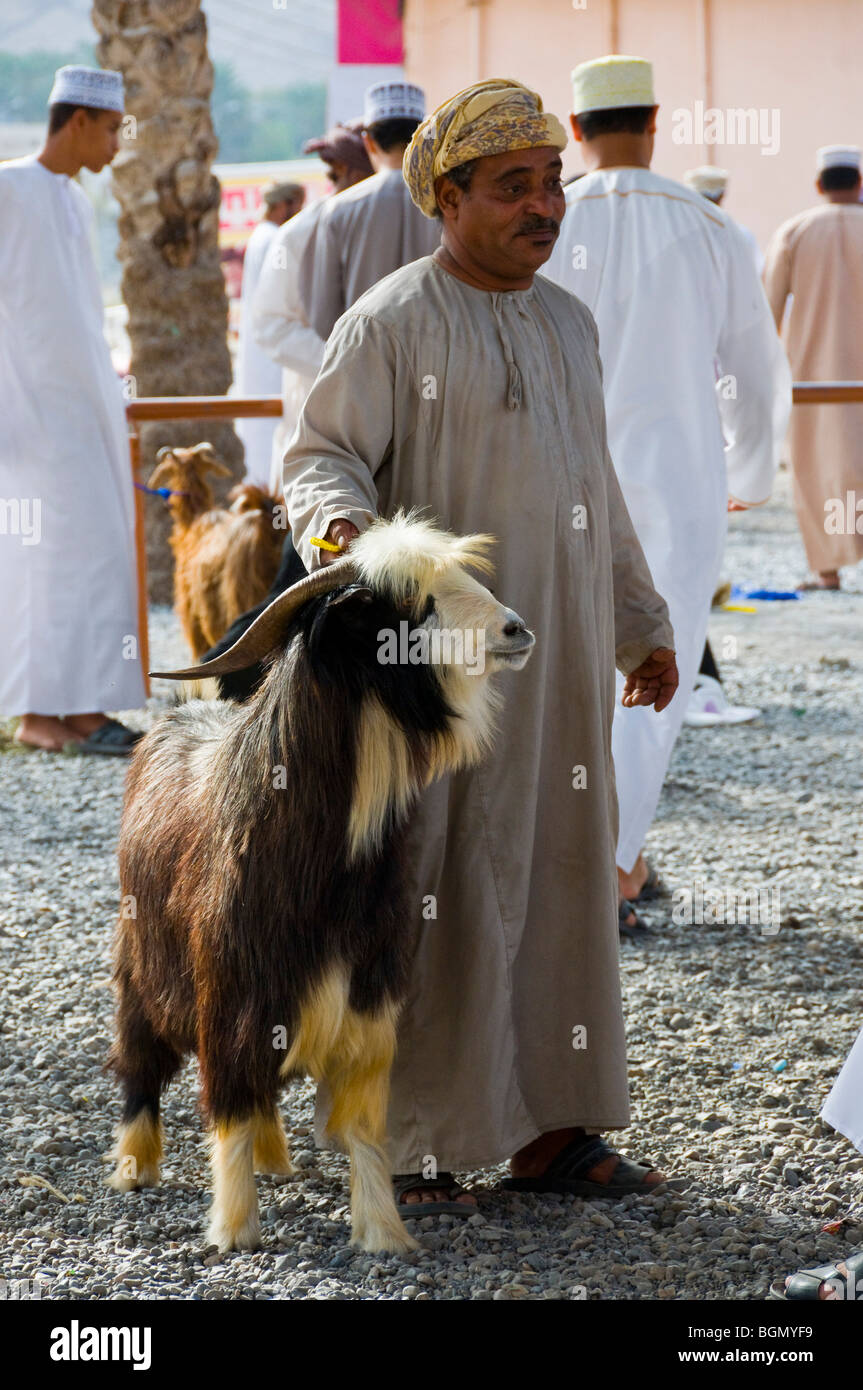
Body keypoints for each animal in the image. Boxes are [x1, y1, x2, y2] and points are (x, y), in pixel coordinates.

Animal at [107, 512, 535, 1254]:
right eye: (408, 604)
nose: (515, 629)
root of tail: (174, 717)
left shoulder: (366, 993)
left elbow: (362, 1125)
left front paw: (383, 1233)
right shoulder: (233, 995)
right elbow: (229, 1103)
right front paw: (235, 1229)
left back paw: (276, 1162)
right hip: (141, 960)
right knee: (140, 1056)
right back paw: (135, 1166)